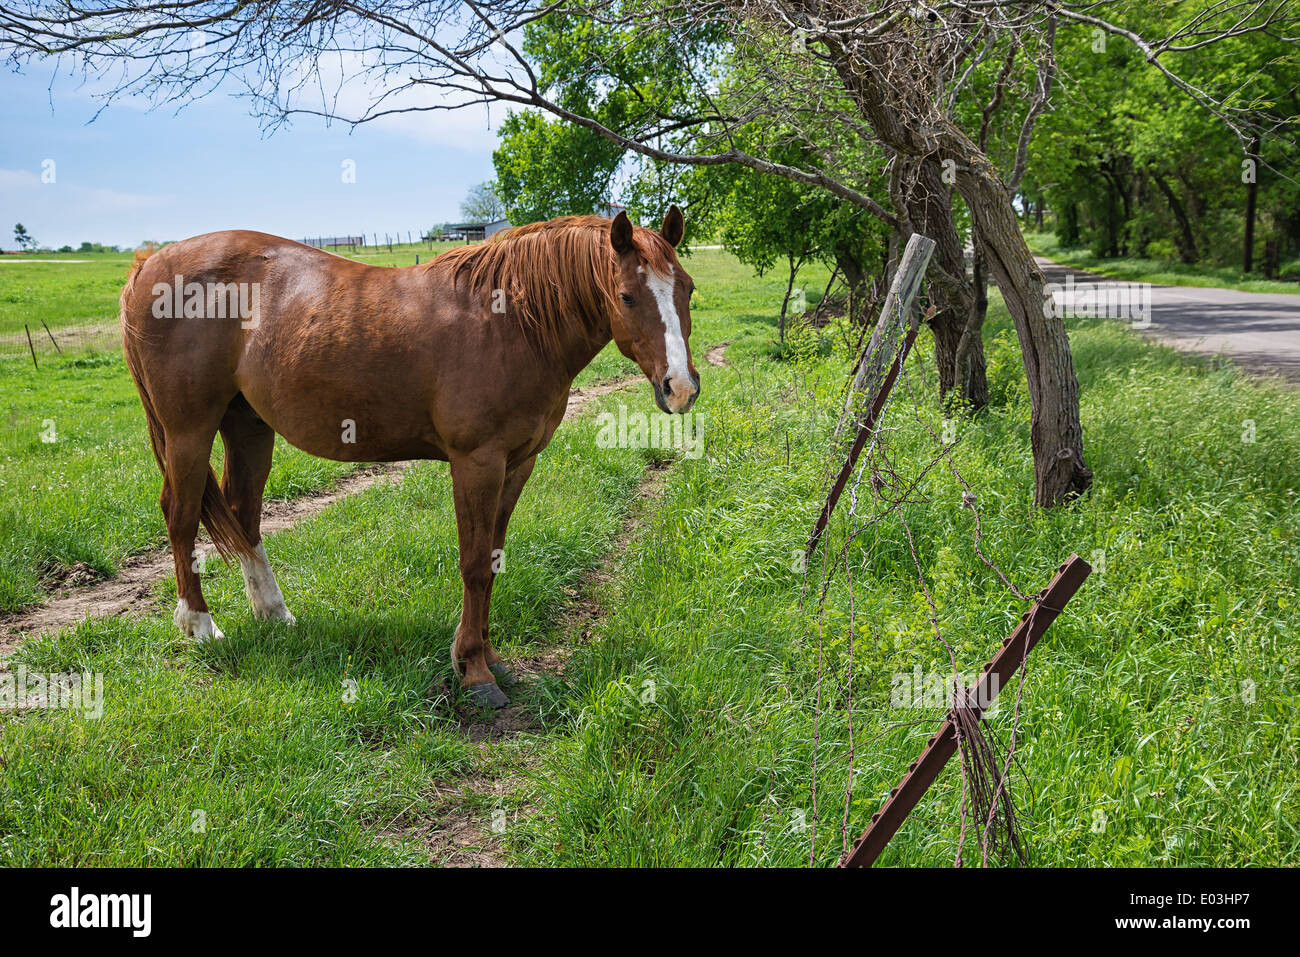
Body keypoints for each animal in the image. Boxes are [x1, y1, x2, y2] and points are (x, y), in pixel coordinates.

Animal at [119, 208, 699, 708]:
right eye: (626, 296)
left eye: (688, 290)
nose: (681, 387)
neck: (510, 320)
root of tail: (150, 263)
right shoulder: (477, 462)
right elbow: (474, 565)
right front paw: (474, 672)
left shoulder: (517, 464)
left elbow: (493, 557)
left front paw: (487, 656)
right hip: (188, 430)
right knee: (180, 514)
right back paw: (200, 625)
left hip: (249, 426)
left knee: (243, 514)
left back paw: (273, 613)